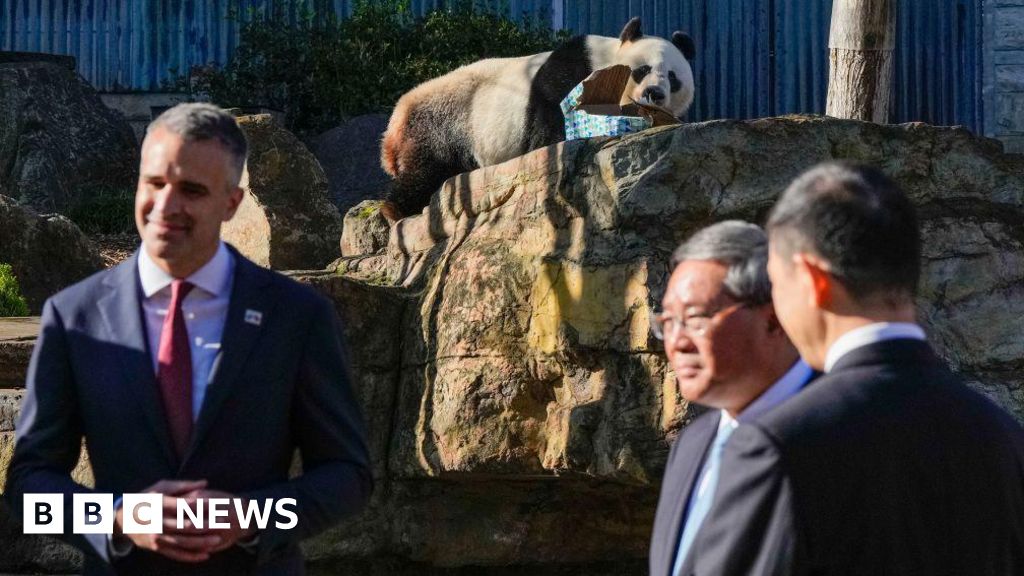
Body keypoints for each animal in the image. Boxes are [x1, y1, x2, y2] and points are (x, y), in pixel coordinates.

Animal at [379, 17, 696, 220]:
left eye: (673, 78)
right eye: (642, 70)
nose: (655, 93)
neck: (606, 61)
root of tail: (395, 122)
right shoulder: (573, 68)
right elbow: (548, 117)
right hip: (444, 119)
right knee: (427, 166)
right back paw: (395, 210)